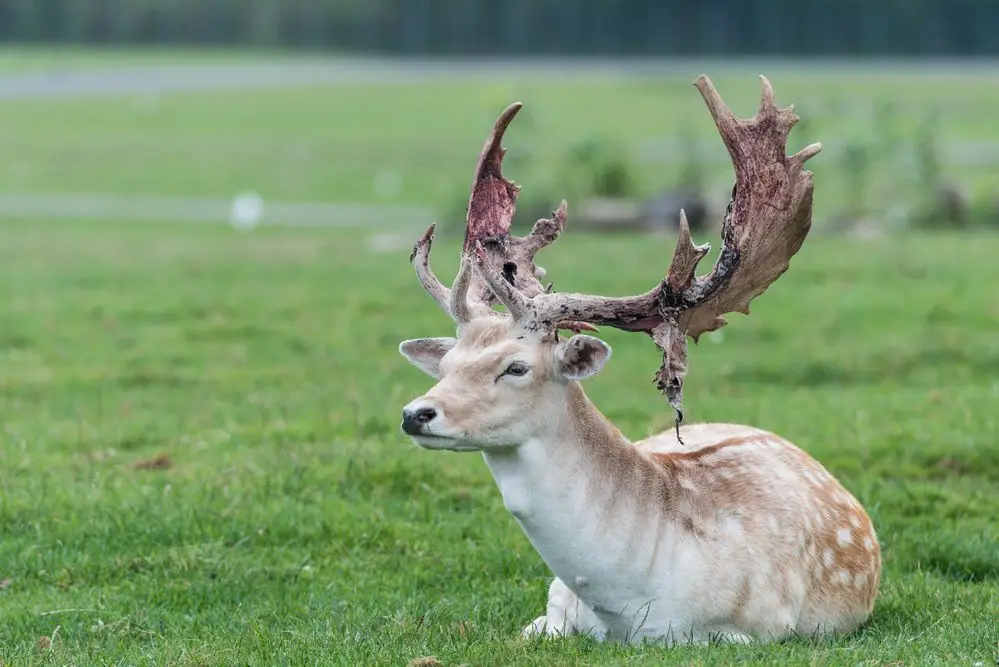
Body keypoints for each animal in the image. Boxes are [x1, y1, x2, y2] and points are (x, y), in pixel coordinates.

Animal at [396, 75, 881, 645]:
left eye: (516, 367)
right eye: (447, 365)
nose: (415, 413)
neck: (626, 609)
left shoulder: (756, 629)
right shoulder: (551, 608)